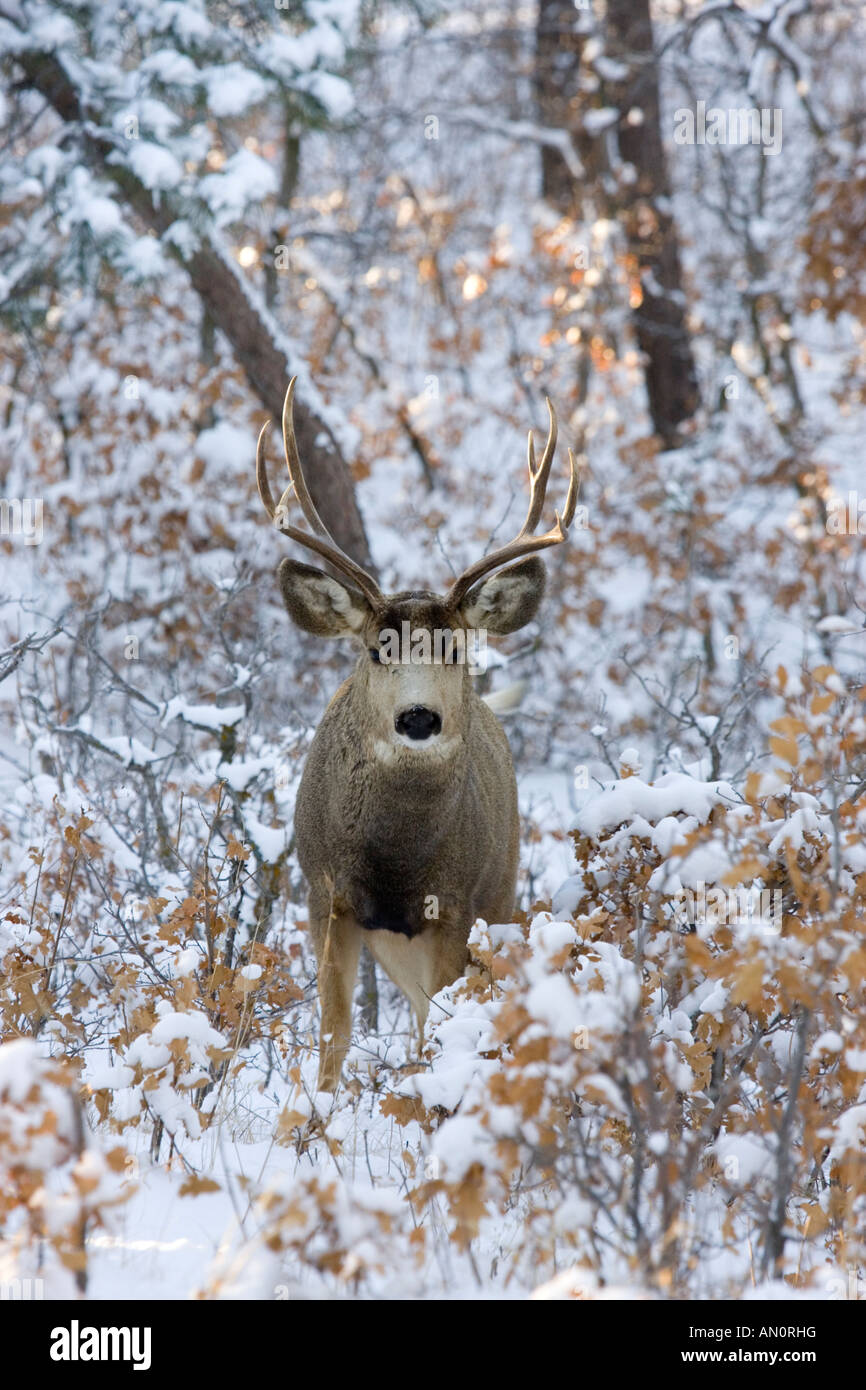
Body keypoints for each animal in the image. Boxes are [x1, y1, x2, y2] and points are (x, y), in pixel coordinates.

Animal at [255, 380, 578, 1090]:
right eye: (378, 647)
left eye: (455, 647)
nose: (419, 718)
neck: (395, 863)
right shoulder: (324, 895)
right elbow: (334, 1034)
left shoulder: (456, 906)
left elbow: (441, 1028)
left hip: (501, 893)